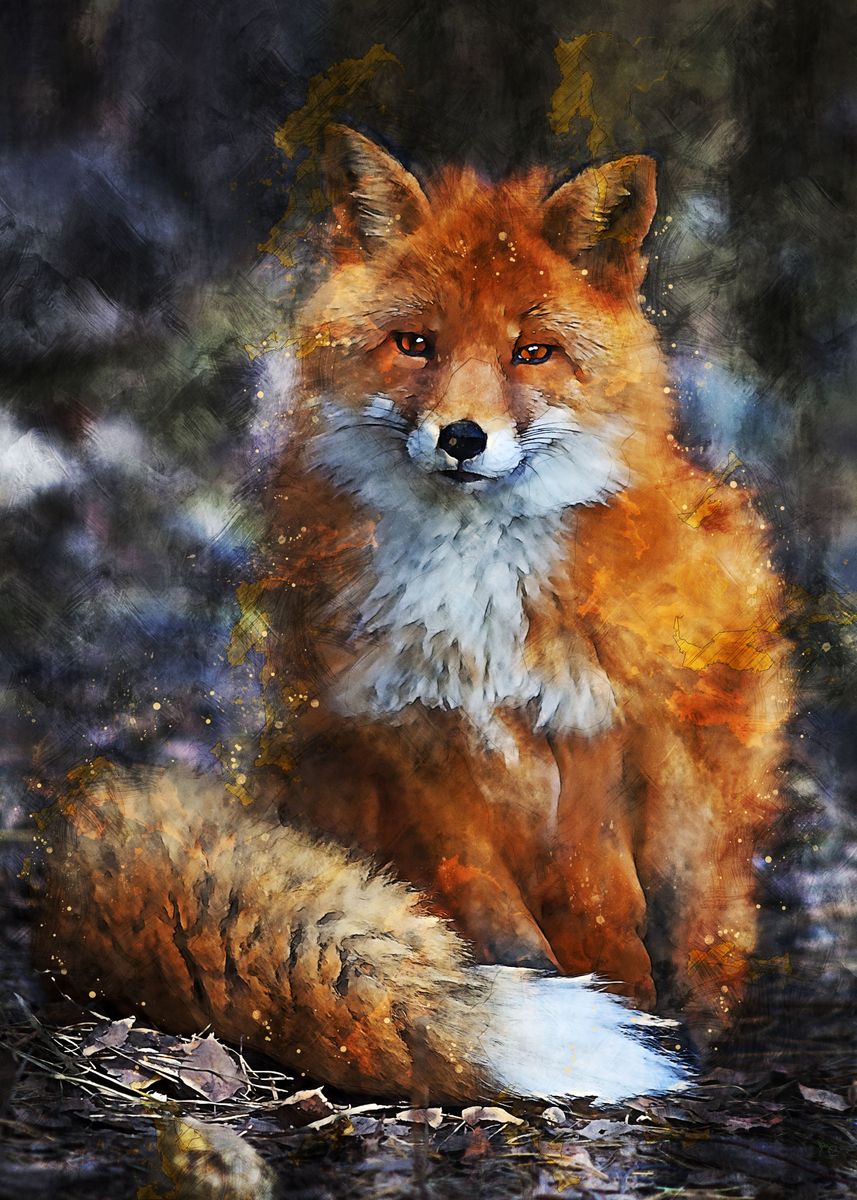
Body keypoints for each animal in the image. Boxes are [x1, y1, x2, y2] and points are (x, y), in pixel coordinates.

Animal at [37, 126, 792, 1104]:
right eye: (416, 344)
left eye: (531, 353)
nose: (463, 438)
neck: (476, 600)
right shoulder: (409, 735)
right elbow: (488, 908)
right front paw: (526, 995)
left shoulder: (593, 723)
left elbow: (596, 900)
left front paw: (629, 1008)